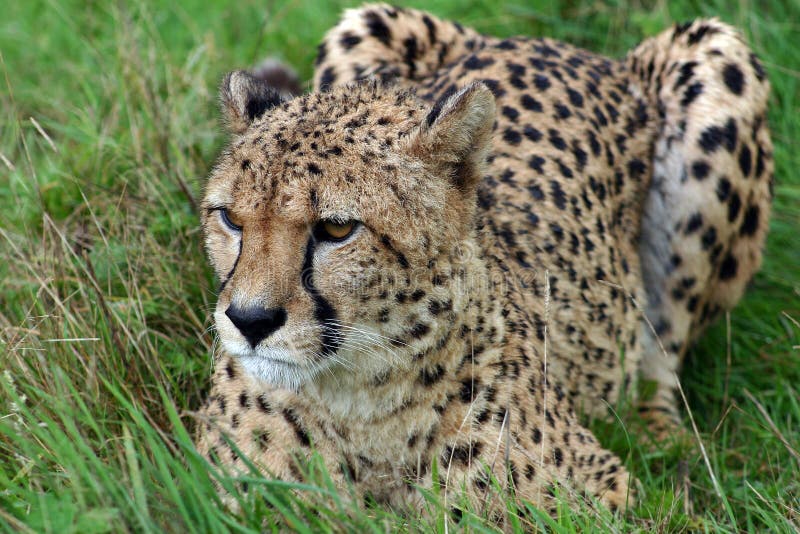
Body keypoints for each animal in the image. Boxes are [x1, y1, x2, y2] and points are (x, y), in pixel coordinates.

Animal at [194, 3, 772, 519]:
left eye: (337, 229)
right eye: (231, 219)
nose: (248, 321)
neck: (362, 394)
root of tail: (547, 42)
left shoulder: (604, 494)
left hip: (715, 55)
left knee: (663, 352)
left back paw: (666, 439)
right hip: (360, 23)